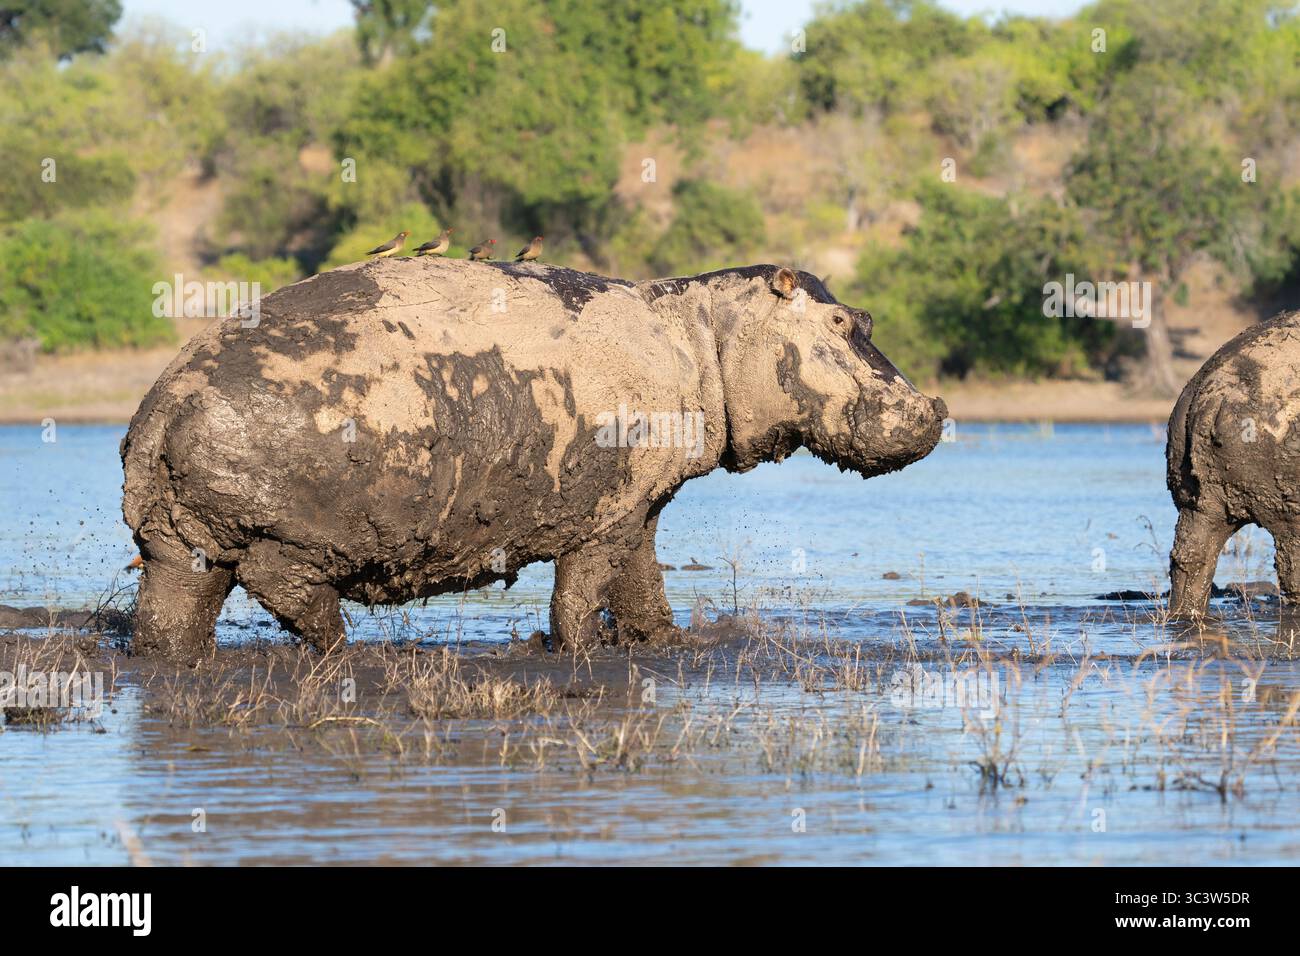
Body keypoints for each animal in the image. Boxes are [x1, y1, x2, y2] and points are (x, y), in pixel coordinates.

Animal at [122, 259, 947, 660]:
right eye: (840, 322)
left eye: (865, 315)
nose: (937, 408)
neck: (704, 334)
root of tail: (162, 405)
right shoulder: (606, 516)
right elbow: (580, 595)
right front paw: (577, 652)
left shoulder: (641, 507)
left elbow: (643, 586)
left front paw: (668, 645)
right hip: (290, 532)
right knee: (283, 582)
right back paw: (338, 646)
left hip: (179, 545)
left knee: (170, 615)